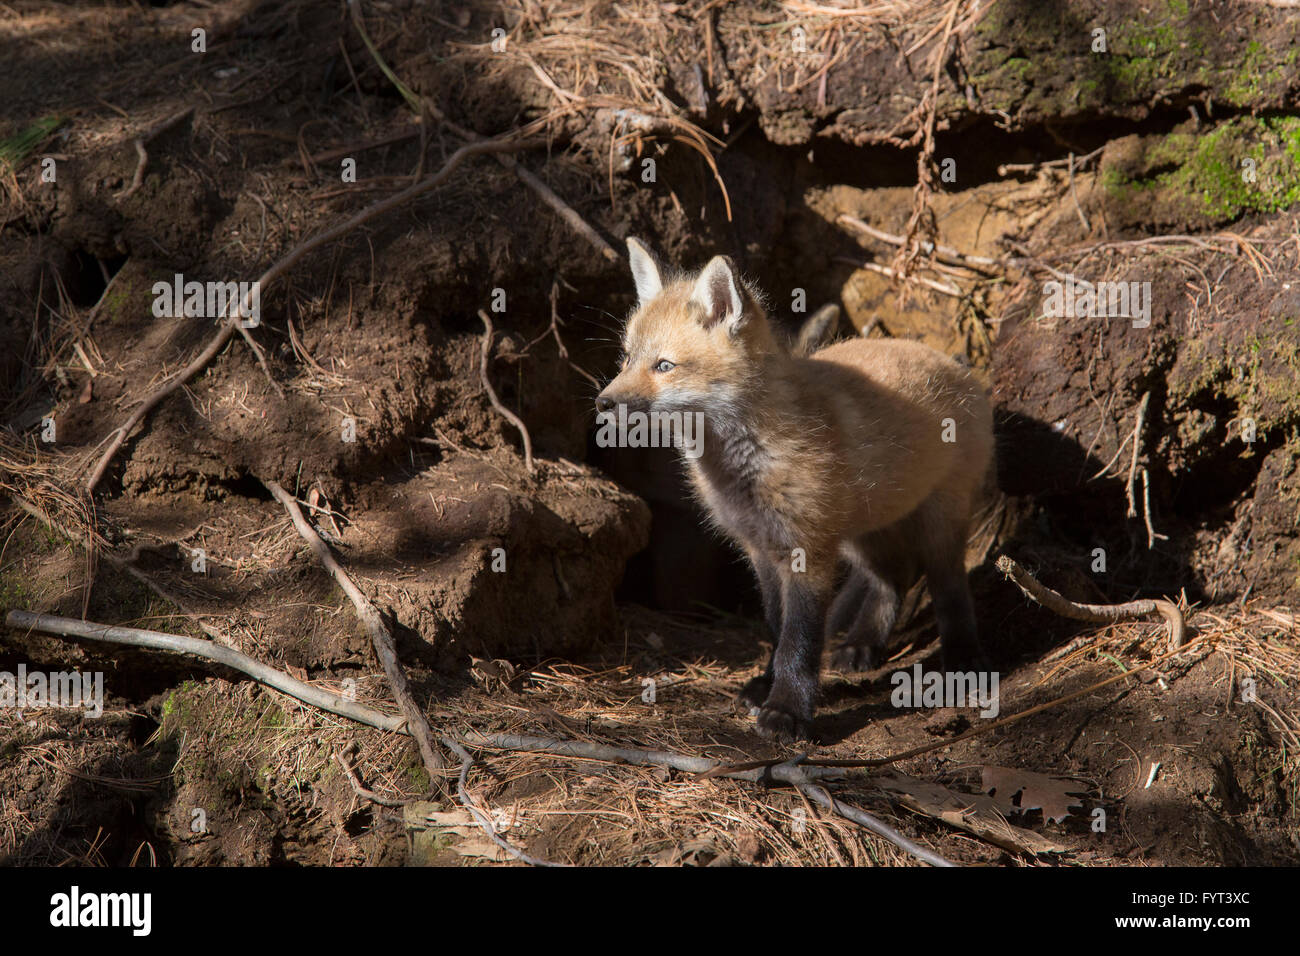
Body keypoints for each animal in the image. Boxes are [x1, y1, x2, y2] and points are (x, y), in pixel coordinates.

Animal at [596, 238, 995, 741]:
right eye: (627, 358)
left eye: (664, 366)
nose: (602, 403)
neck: (744, 467)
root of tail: (957, 366)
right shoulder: (761, 549)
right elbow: (775, 625)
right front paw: (766, 685)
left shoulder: (809, 550)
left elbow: (799, 640)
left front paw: (787, 710)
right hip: (862, 529)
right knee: (894, 574)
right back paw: (863, 644)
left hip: (939, 521)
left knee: (947, 584)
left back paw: (963, 656)